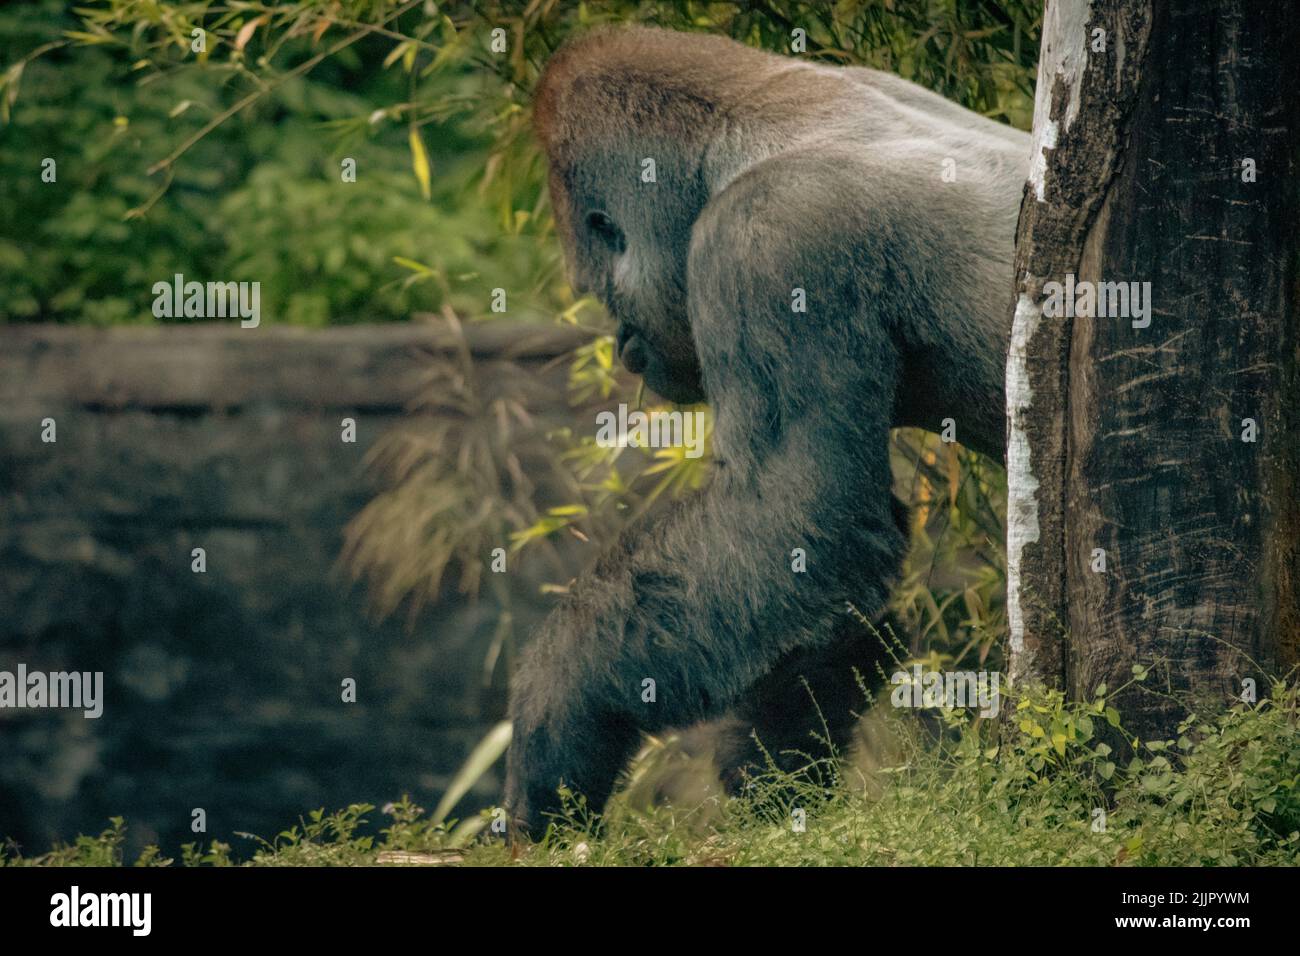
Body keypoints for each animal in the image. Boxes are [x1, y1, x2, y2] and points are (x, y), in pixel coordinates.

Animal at [505, 26, 1029, 837]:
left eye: (598, 288)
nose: (622, 345)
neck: (754, 125)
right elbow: (820, 580)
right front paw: (778, 775)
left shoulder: (765, 243)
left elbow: (793, 524)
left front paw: (558, 708)